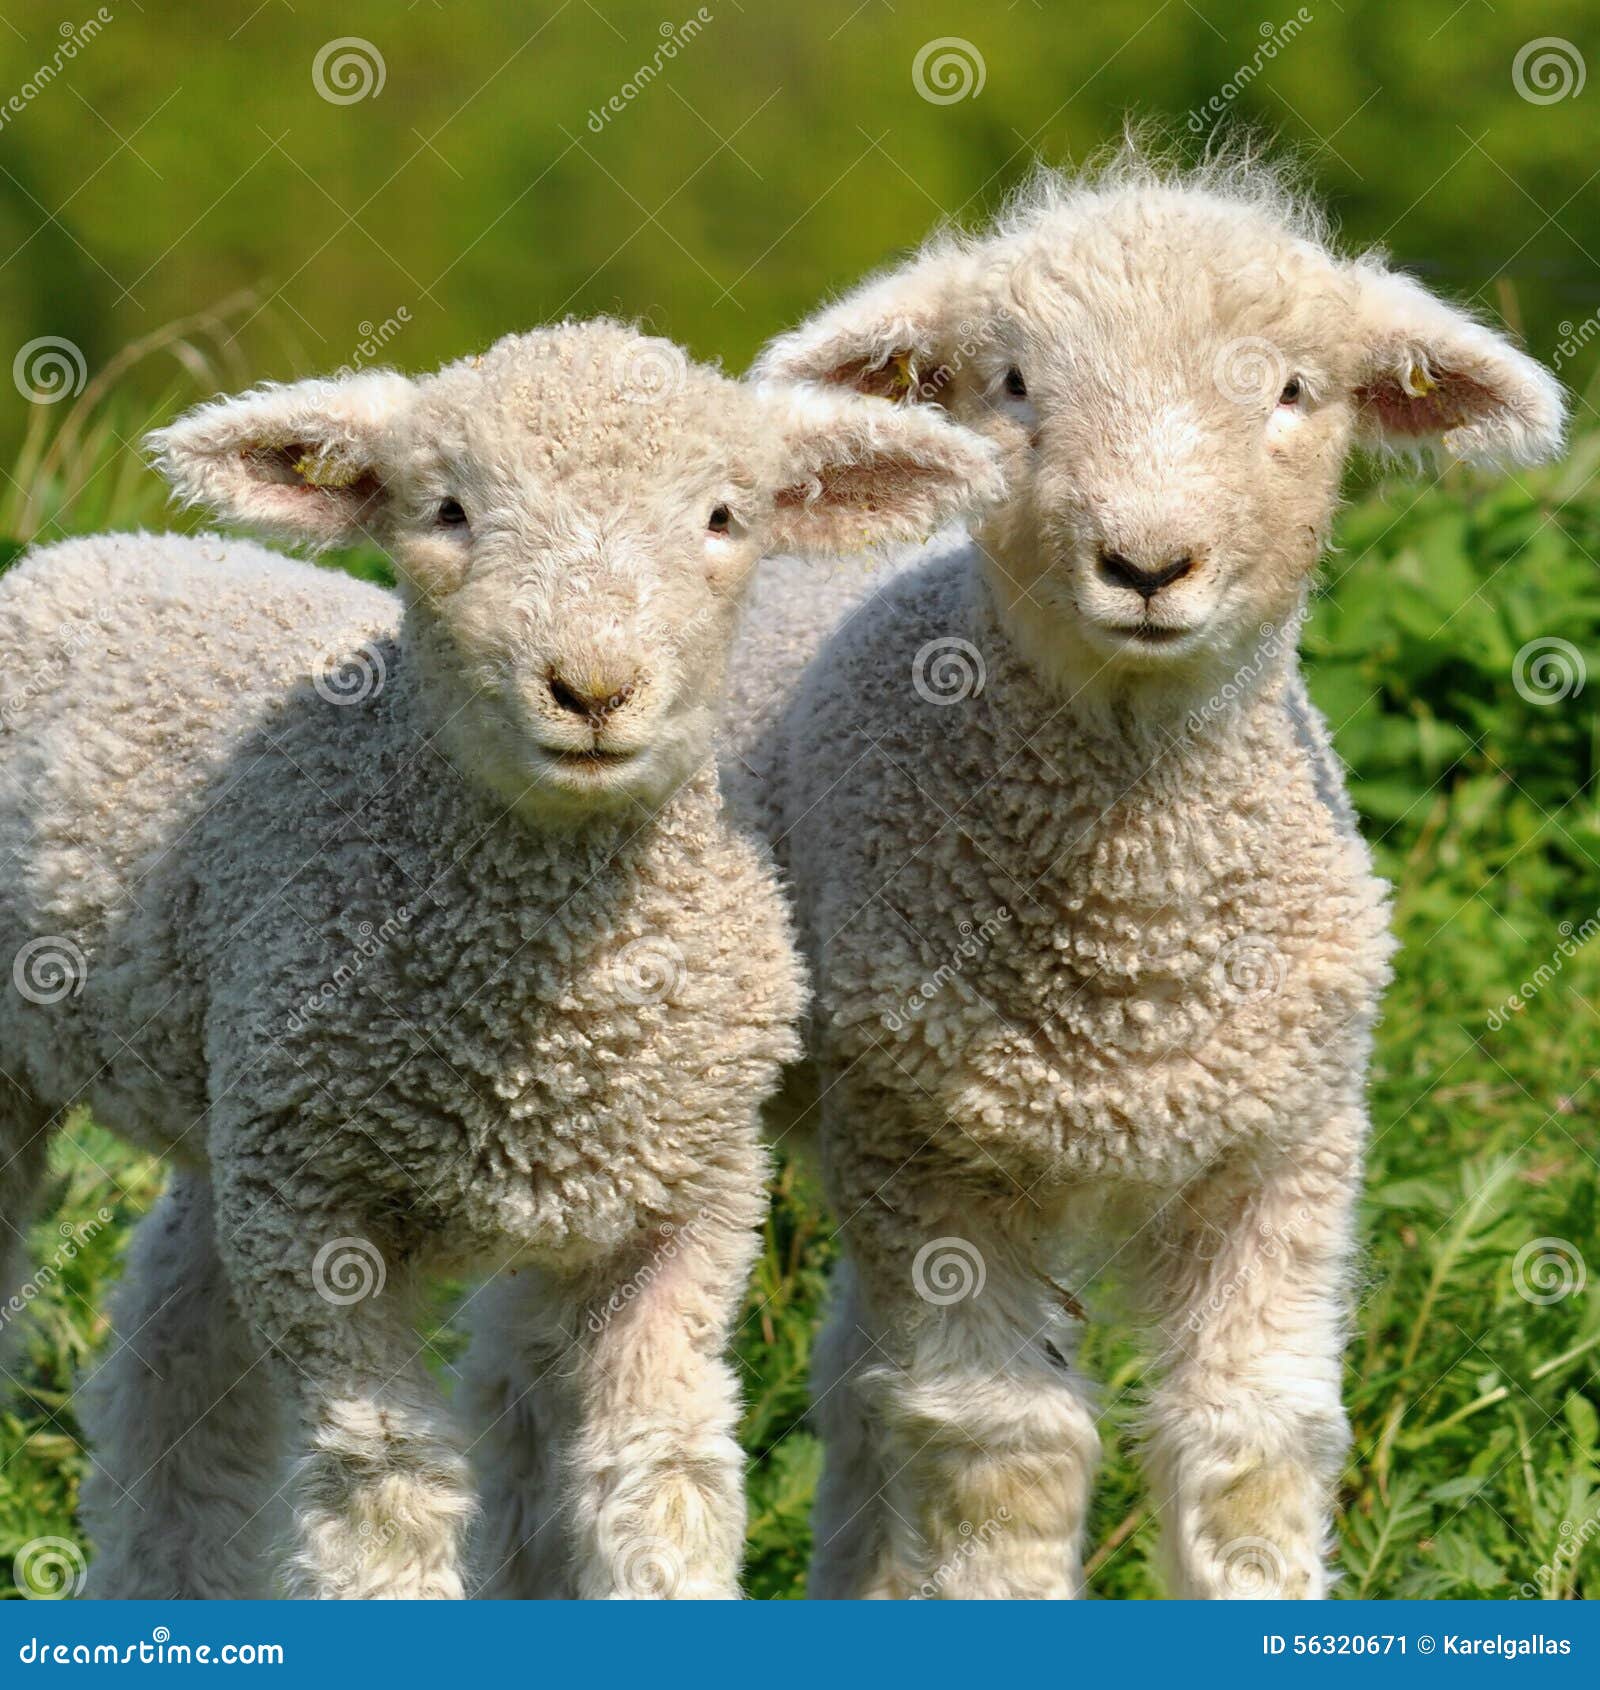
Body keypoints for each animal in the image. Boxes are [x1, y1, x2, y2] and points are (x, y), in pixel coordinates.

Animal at [0, 319, 1002, 1600]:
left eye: (725, 516)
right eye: (448, 510)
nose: (593, 688)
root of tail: (98, 550)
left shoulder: (691, 1203)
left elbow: (663, 1473)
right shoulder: (313, 1216)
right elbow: (389, 1494)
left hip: (234, 1108)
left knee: (176, 1344)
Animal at [721, 146, 1566, 1601]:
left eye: (1294, 391)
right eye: (1011, 382)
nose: (1148, 562)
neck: (1136, 951)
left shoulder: (1284, 1146)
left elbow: (1250, 1442)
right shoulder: (938, 1160)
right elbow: (1004, 1455)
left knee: (851, 1381)